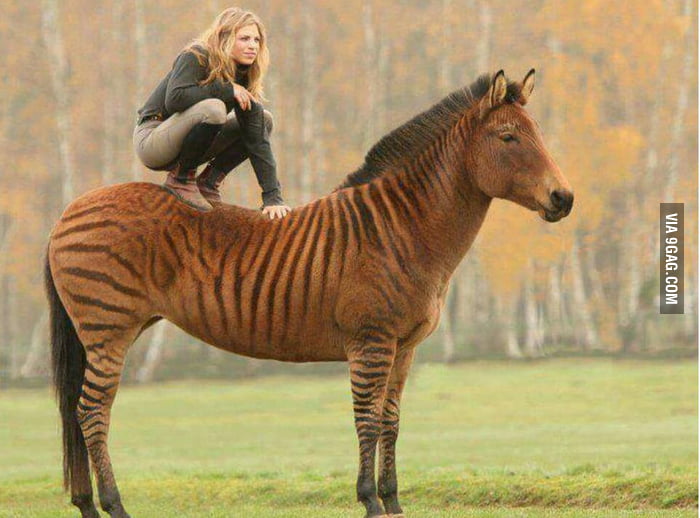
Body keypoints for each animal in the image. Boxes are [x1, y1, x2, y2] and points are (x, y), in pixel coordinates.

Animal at [46, 69, 573, 518]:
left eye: (539, 132)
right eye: (508, 137)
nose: (564, 199)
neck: (401, 229)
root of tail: (69, 208)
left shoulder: (404, 347)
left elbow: (391, 420)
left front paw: (393, 501)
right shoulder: (371, 342)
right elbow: (367, 419)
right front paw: (370, 501)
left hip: (103, 331)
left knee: (79, 411)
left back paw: (87, 503)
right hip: (109, 327)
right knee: (92, 411)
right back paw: (112, 505)